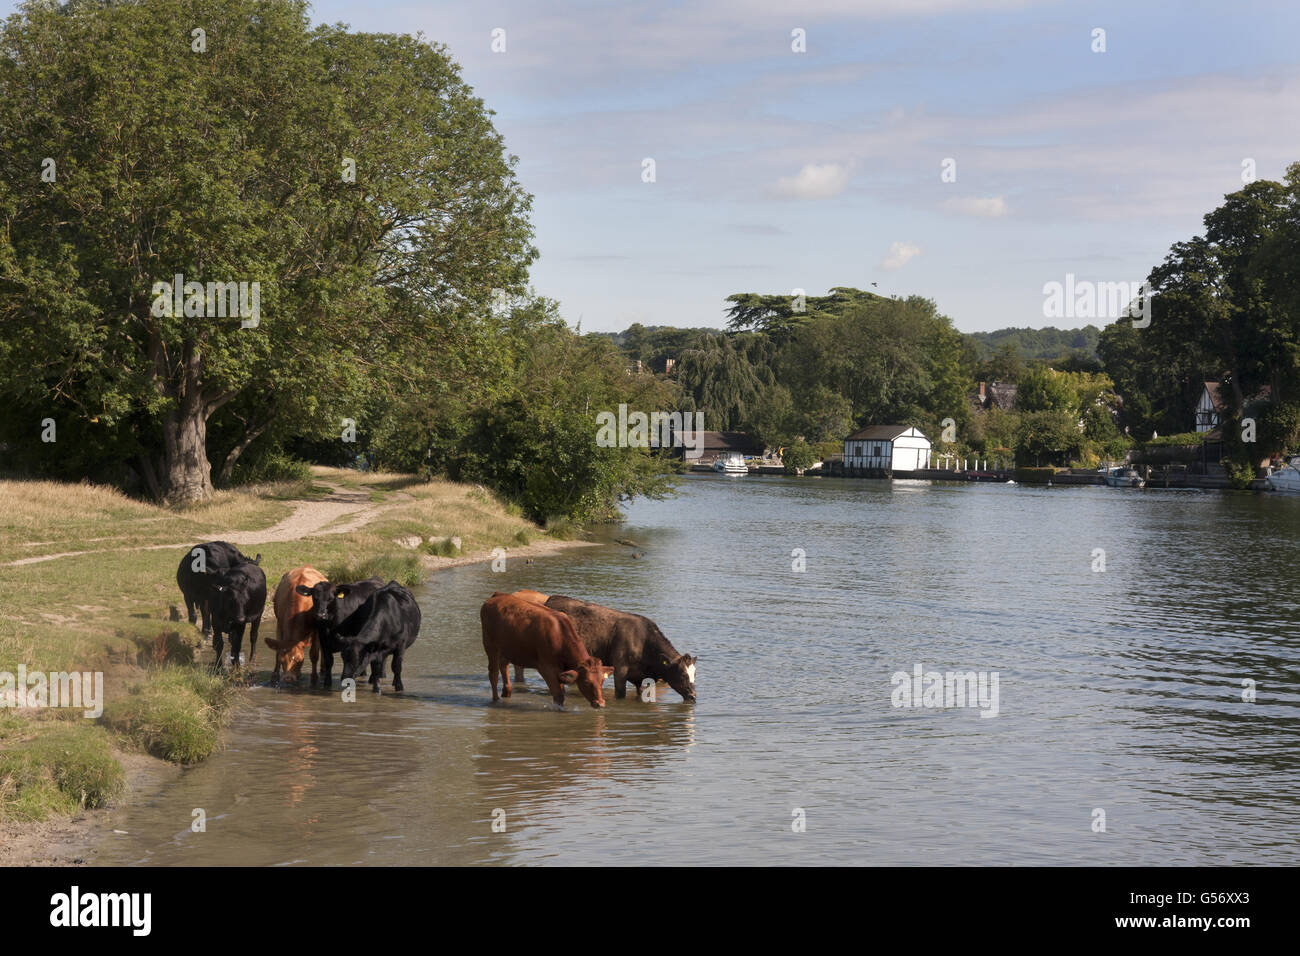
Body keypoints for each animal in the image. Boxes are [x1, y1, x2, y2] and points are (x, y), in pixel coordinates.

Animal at [480, 592, 610, 709]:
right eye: (587, 681)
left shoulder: (560, 672)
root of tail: (498, 595)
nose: (600, 703)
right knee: (493, 673)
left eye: (602, 680)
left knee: (504, 666)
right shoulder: (546, 668)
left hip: (506, 648)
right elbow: (558, 696)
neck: (559, 635)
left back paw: (506, 692)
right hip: (489, 644)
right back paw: (496, 700)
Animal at [545, 595, 696, 702]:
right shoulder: (620, 670)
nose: (693, 696)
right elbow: (620, 694)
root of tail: (552, 599)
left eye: (694, 674)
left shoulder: (640, 677)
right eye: (683, 674)